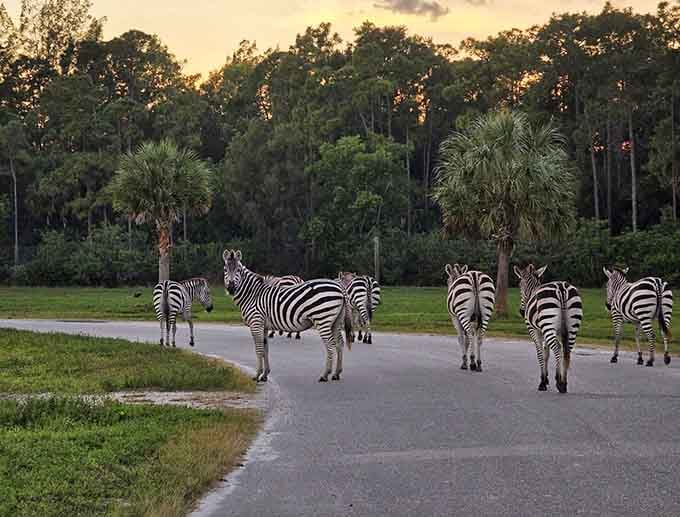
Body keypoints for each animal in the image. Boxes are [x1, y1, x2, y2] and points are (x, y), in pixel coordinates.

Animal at [223, 249, 353, 382]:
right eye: (225, 269)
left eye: (238, 270)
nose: (231, 288)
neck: (253, 294)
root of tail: (340, 287)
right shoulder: (264, 326)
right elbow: (265, 349)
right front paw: (265, 375)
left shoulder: (256, 323)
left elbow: (258, 349)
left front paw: (257, 375)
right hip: (336, 321)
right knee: (339, 343)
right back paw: (336, 373)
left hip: (323, 319)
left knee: (331, 345)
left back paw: (325, 375)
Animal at [514, 264, 583, 393]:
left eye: (520, 285)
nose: (521, 311)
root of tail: (561, 288)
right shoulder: (552, 331)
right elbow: (547, 352)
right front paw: (548, 378)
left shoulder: (534, 330)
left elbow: (540, 353)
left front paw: (543, 382)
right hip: (571, 326)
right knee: (567, 350)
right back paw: (564, 382)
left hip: (548, 322)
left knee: (557, 348)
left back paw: (560, 383)